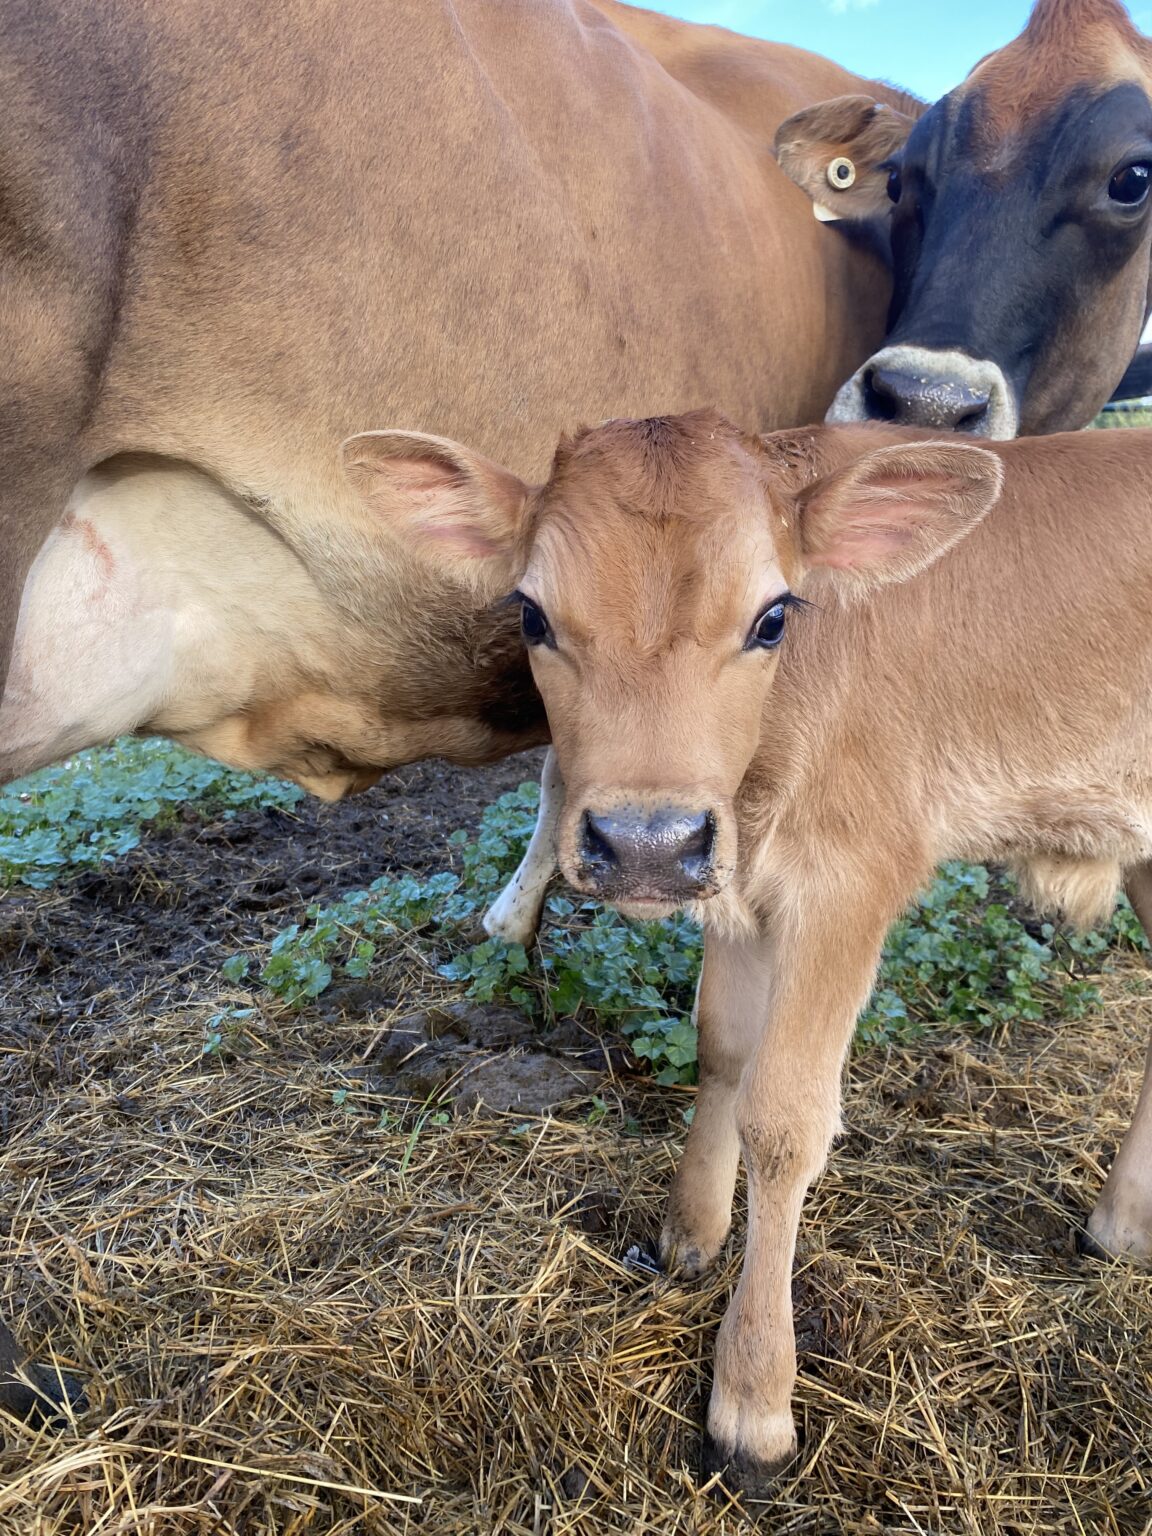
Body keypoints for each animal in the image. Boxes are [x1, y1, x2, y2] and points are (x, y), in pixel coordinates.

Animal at [343, 410, 1152, 1495]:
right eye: (532, 615)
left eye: (772, 618)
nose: (645, 841)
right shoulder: (732, 878)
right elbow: (722, 1048)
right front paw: (690, 1234)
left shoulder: (850, 878)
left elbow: (785, 1121)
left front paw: (752, 1403)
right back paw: (1120, 1228)